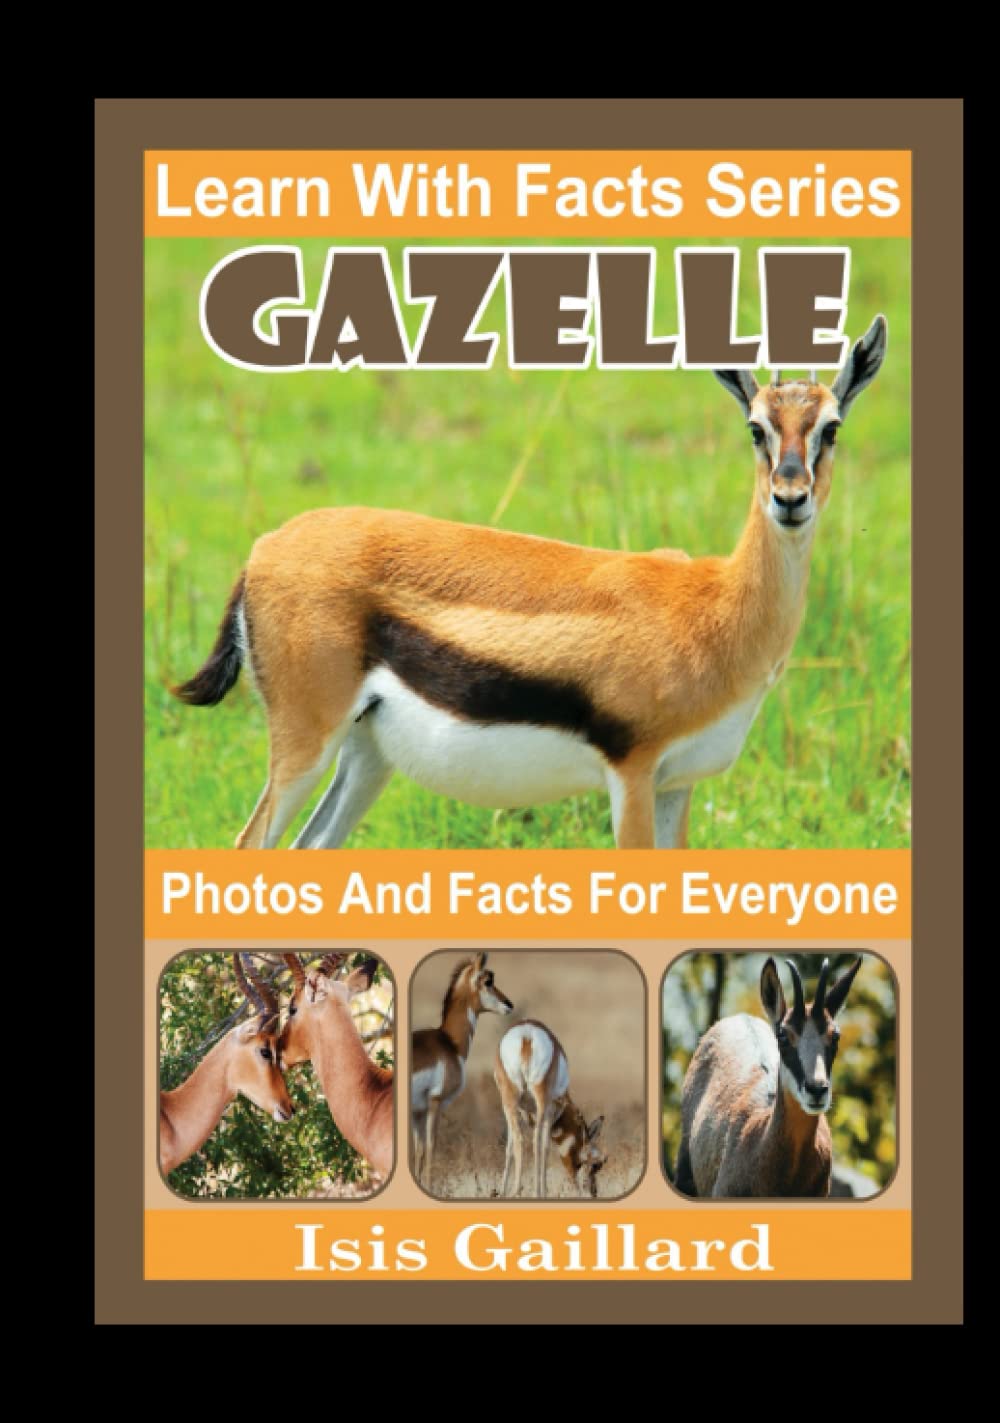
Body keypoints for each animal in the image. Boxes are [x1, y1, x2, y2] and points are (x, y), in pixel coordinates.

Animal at [173, 316, 887, 850]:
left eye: (830, 428)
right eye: (756, 428)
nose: (790, 499)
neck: (713, 610)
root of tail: (263, 550)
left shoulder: (678, 783)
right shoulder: (632, 775)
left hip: (367, 753)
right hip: (306, 744)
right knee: (250, 844)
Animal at [411, 952, 514, 1189]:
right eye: (488, 981)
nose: (509, 1004)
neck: (449, 1043)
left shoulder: (418, 1111)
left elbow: (418, 1151)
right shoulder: (435, 1103)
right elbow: (431, 1147)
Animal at [495, 1020, 606, 1199]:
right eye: (596, 1163)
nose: (593, 1192)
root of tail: (527, 1036)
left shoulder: (518, 1112)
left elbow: (509, 1148)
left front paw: (502, 1192)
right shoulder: (550, 1112)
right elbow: (545, 1147)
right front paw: (543, 1191)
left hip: (509, 1100)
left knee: (520, 1140)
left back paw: (516, 1190)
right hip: (540, 1102)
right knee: (536, 1142)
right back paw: (534, 1192)